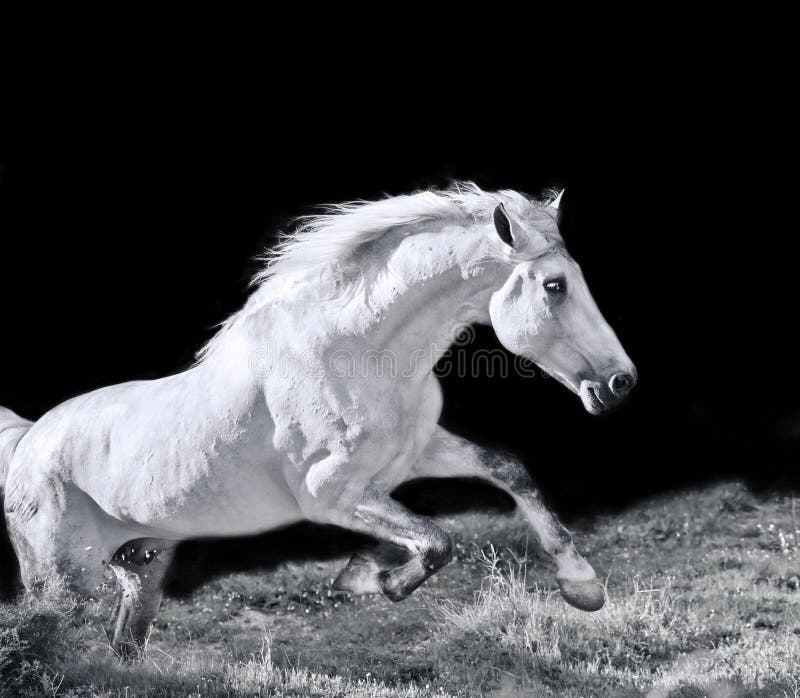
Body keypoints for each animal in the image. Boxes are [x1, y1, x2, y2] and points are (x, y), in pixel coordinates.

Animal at [0, 182, 636, 655]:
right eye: (554, 285)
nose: (620, 384)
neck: (354, 353)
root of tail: (29, 440)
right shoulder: (329, 495)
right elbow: (437, 540)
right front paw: (366, 580)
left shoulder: (416, 454)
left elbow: (506, 470)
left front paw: (583, 587)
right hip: (64, 579)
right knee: (50, 636)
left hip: (142, 566)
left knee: (123, 645)